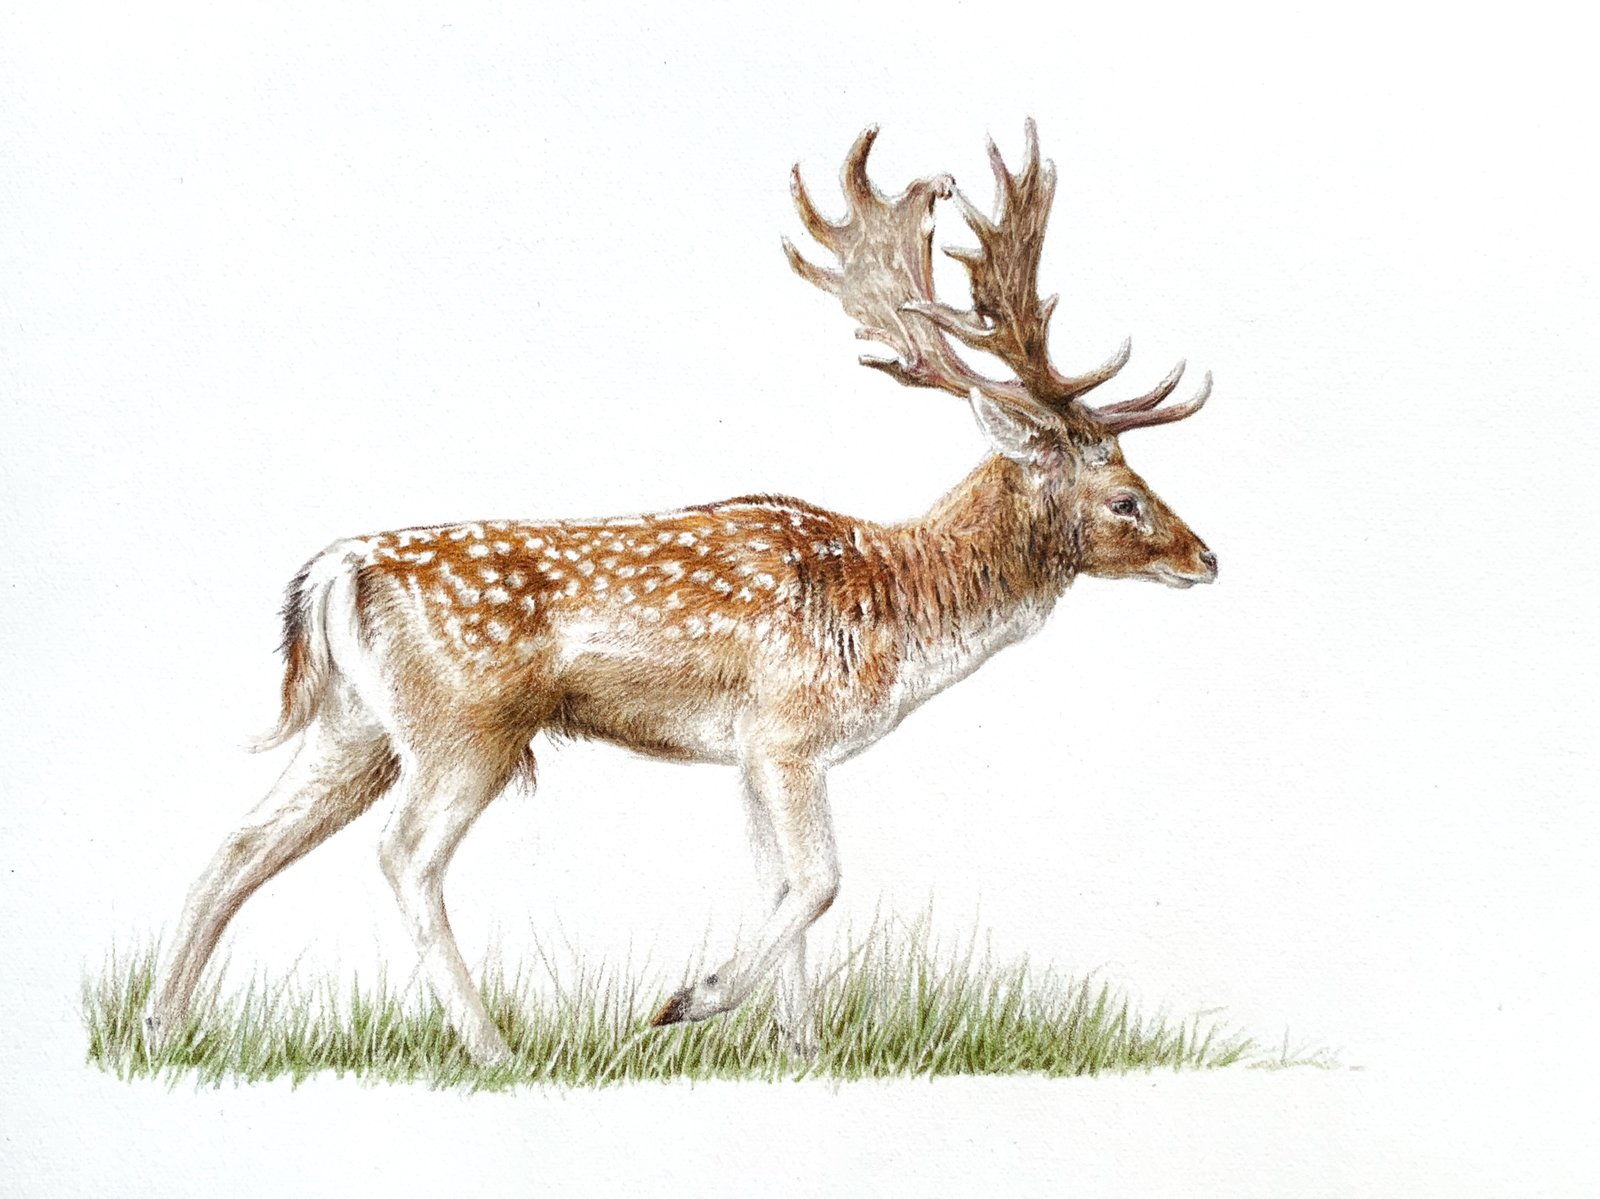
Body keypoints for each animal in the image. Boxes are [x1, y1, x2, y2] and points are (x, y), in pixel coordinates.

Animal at [144, 121, 1217, 1068]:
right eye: (1125, 497)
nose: (1208, 557)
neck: (896, 606)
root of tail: (334, 571)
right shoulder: (788, 728)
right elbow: (819, 881)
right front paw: (688, 1000)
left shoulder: (748, 755)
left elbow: (780, 884)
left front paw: (801, 1048)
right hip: (464, 728)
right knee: (401, 855)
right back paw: (492, 1047)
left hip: (357, 725)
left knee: (238, 842)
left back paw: (162, 1025)